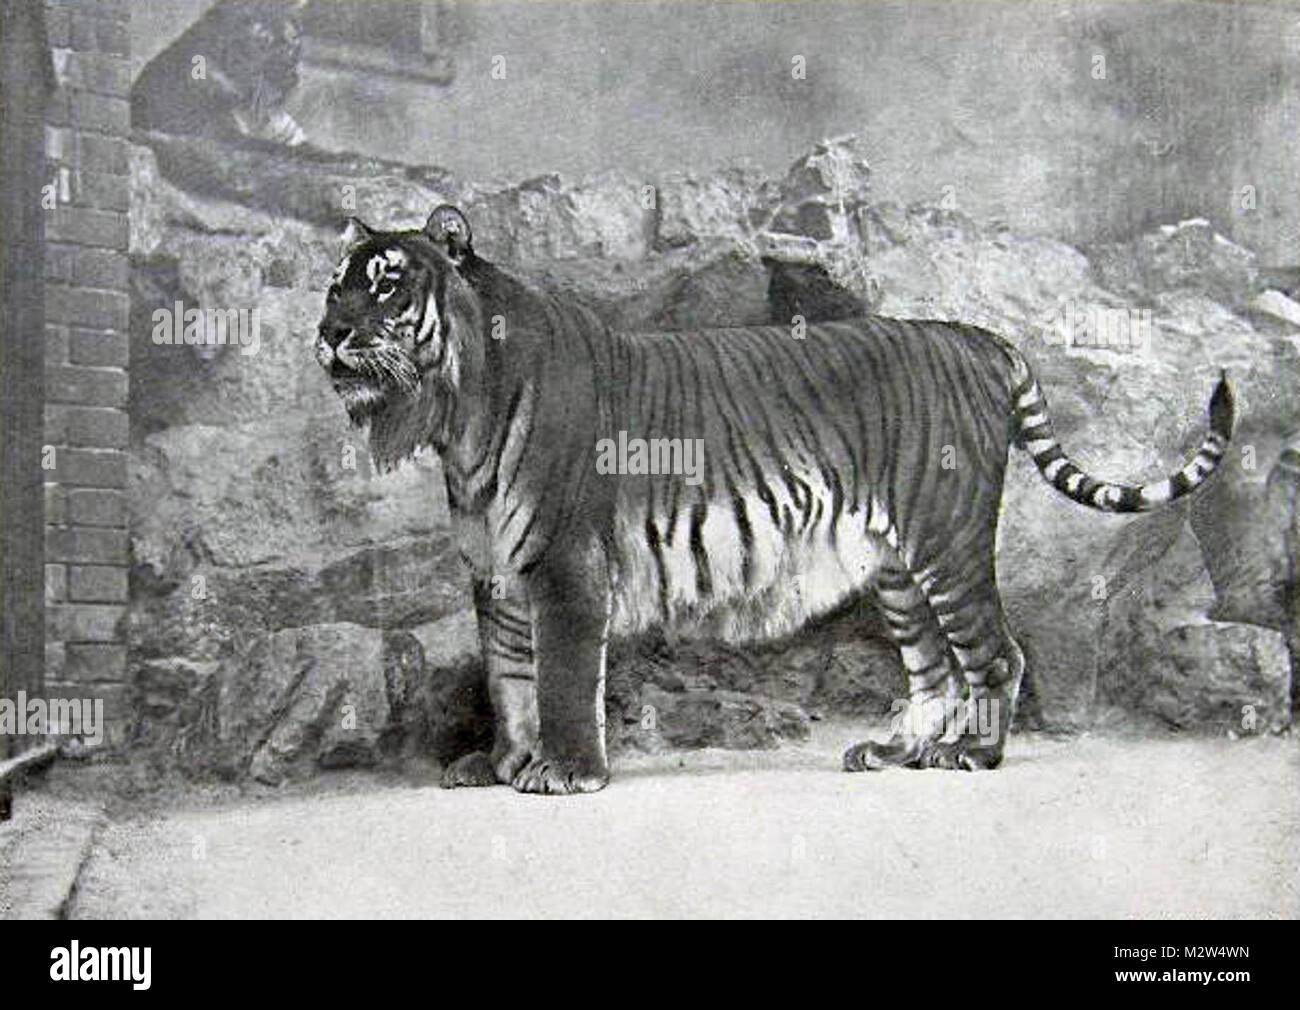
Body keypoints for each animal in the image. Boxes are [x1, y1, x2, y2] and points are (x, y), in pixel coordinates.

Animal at [314, 204, 1234, 795]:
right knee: (933, 667)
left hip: (947, 540)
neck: (458, 414)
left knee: (996, 654)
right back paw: (895, 753)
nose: (329, 333)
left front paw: (566, 773)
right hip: (897, 568)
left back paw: (973, 755)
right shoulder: (496, 572)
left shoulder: (564, 567)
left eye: (388, 284)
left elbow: (562, 678)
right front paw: (502, 764)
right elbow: (508, 678)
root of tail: (976, 337)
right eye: (334, 287)